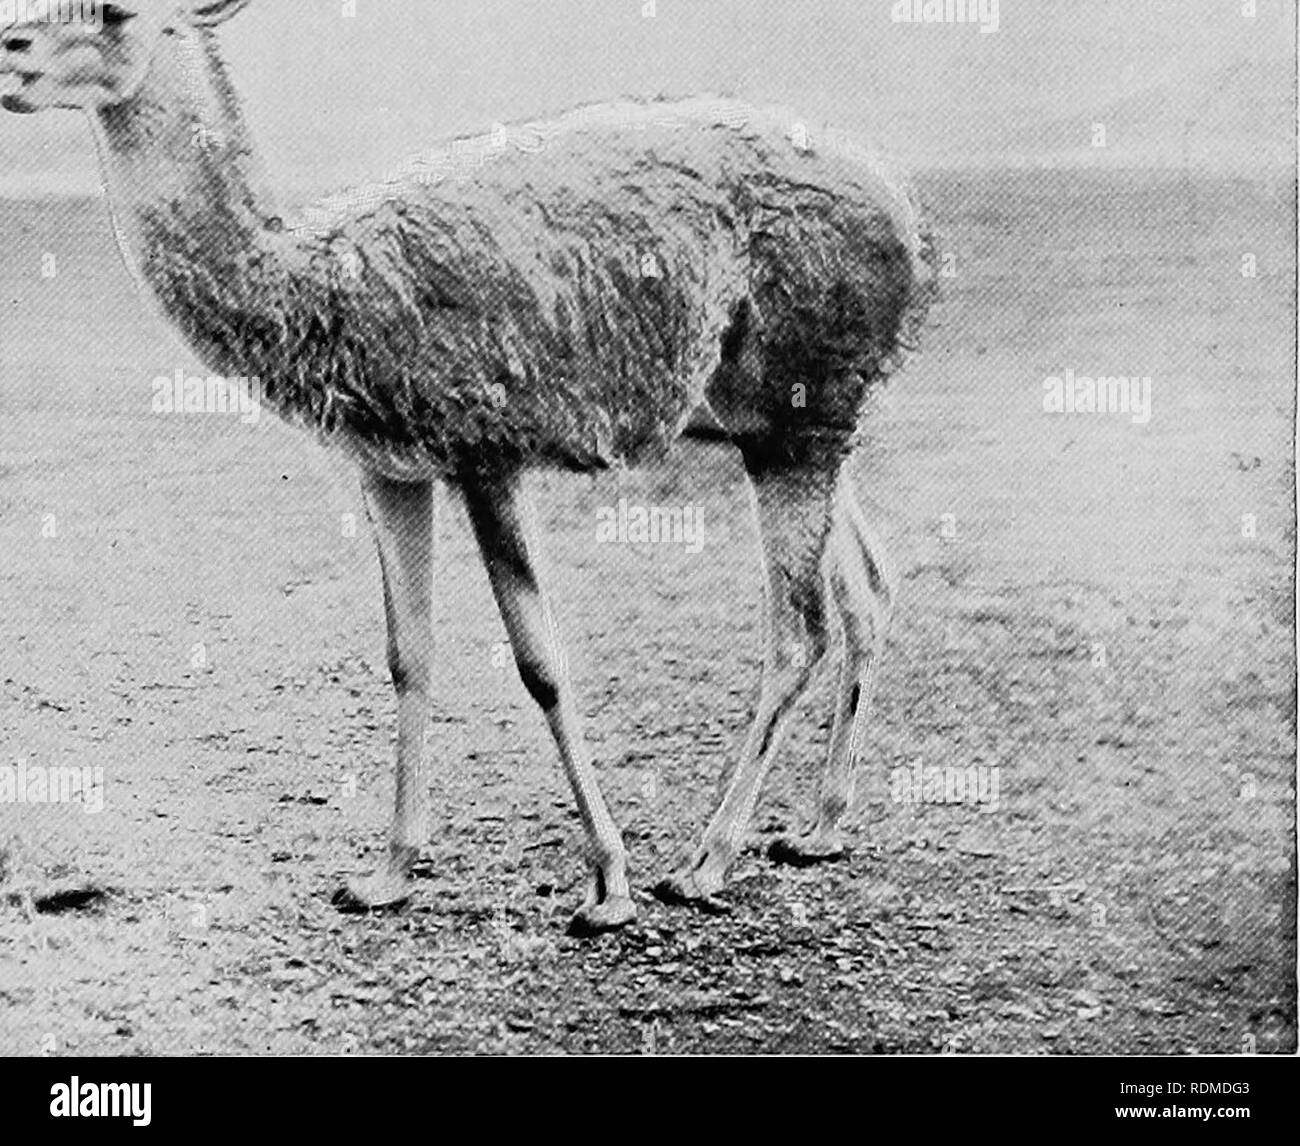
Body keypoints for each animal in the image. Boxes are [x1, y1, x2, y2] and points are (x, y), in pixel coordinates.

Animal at [0, 0, 936, 936]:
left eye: (117, 13)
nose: (10, 46)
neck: (324, 282)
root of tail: (907, 212)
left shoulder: (487, 454)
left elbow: (542, 665)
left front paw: (609, 885)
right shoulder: (391, 471)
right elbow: (407, 656)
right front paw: (385, 875)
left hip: (798, 419)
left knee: (799, 632)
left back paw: (704, 863)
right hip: (782, 428)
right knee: (869, 587)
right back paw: (818, 828)